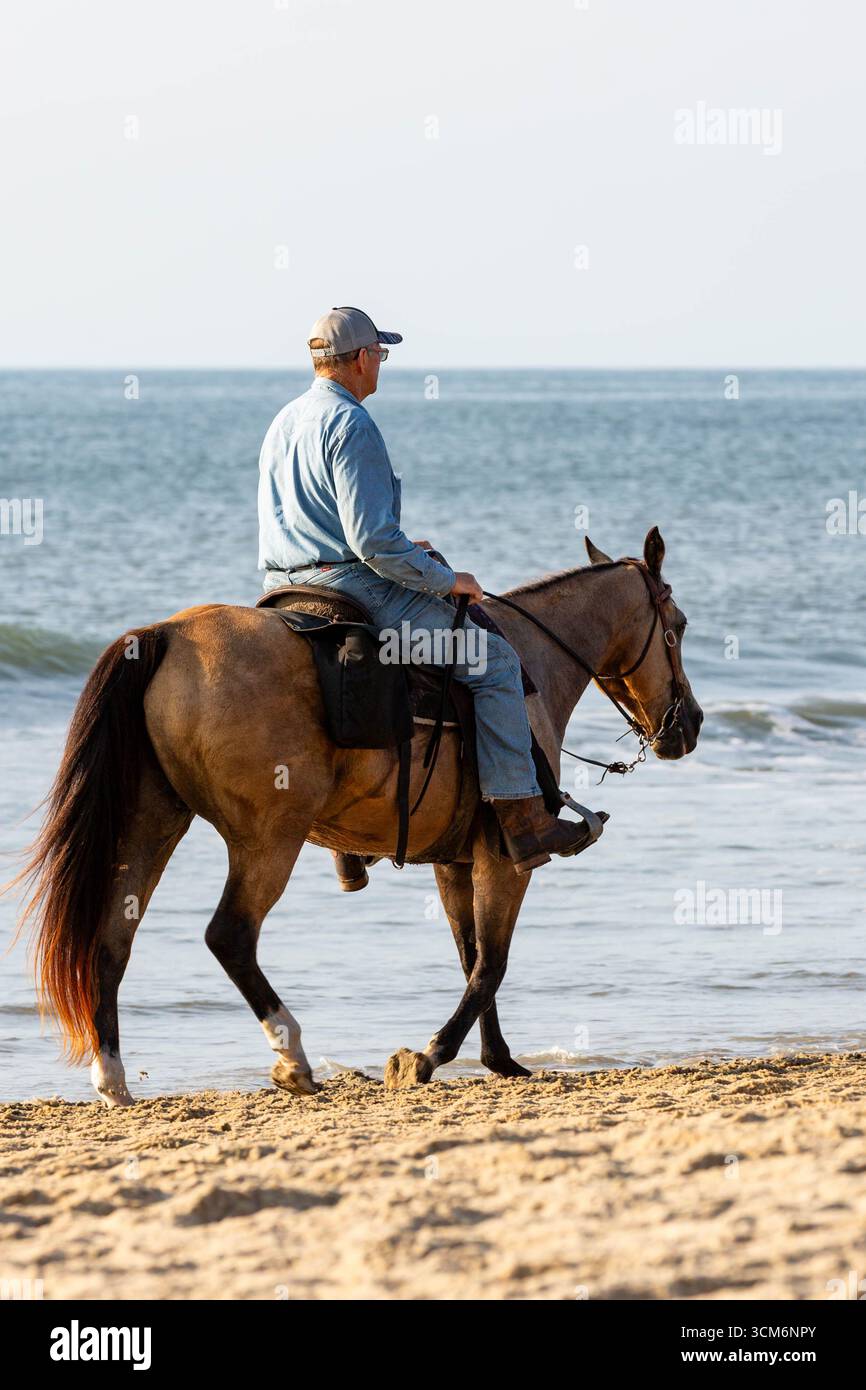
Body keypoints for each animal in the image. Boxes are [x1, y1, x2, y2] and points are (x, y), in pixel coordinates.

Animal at [10, 527, 702, 1105]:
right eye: (680, 624)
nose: (688, 726)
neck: (532, 661)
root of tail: (168, 635)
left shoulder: (454, 861)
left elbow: (470, 954)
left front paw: (498, 1060)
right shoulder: (509, 857)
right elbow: (492, 962)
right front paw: (431, 1055)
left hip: (152, 823)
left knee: (111, 939)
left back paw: (113, 1078)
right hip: (267, 840)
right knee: (229, 935)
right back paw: (293, 1057)